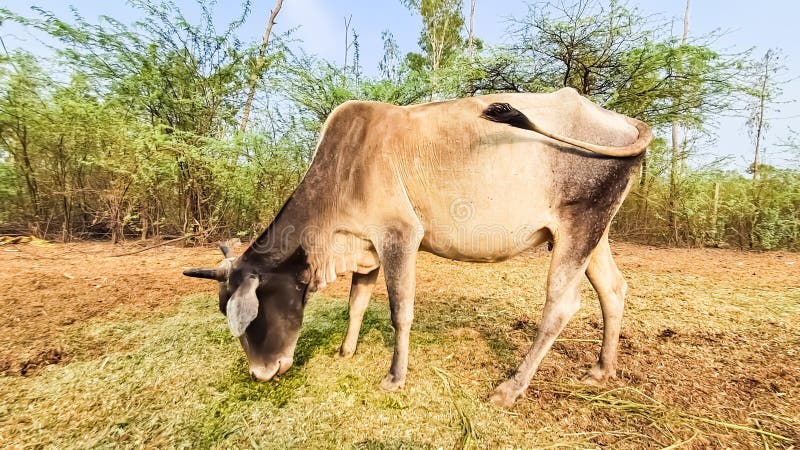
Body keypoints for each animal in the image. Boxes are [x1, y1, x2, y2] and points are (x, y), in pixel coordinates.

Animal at [183, 87, 652, 407]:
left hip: (578, 228)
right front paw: (346, 351)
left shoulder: (400, 236)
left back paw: (511, 388)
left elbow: (400, 311)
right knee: (613, 289)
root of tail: (619, 120)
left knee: (560, 306)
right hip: (594, 234)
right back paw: (601, 370)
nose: (261, 373)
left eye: (254, 313)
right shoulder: (367, 248)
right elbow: (356, 303)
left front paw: (395, 377)